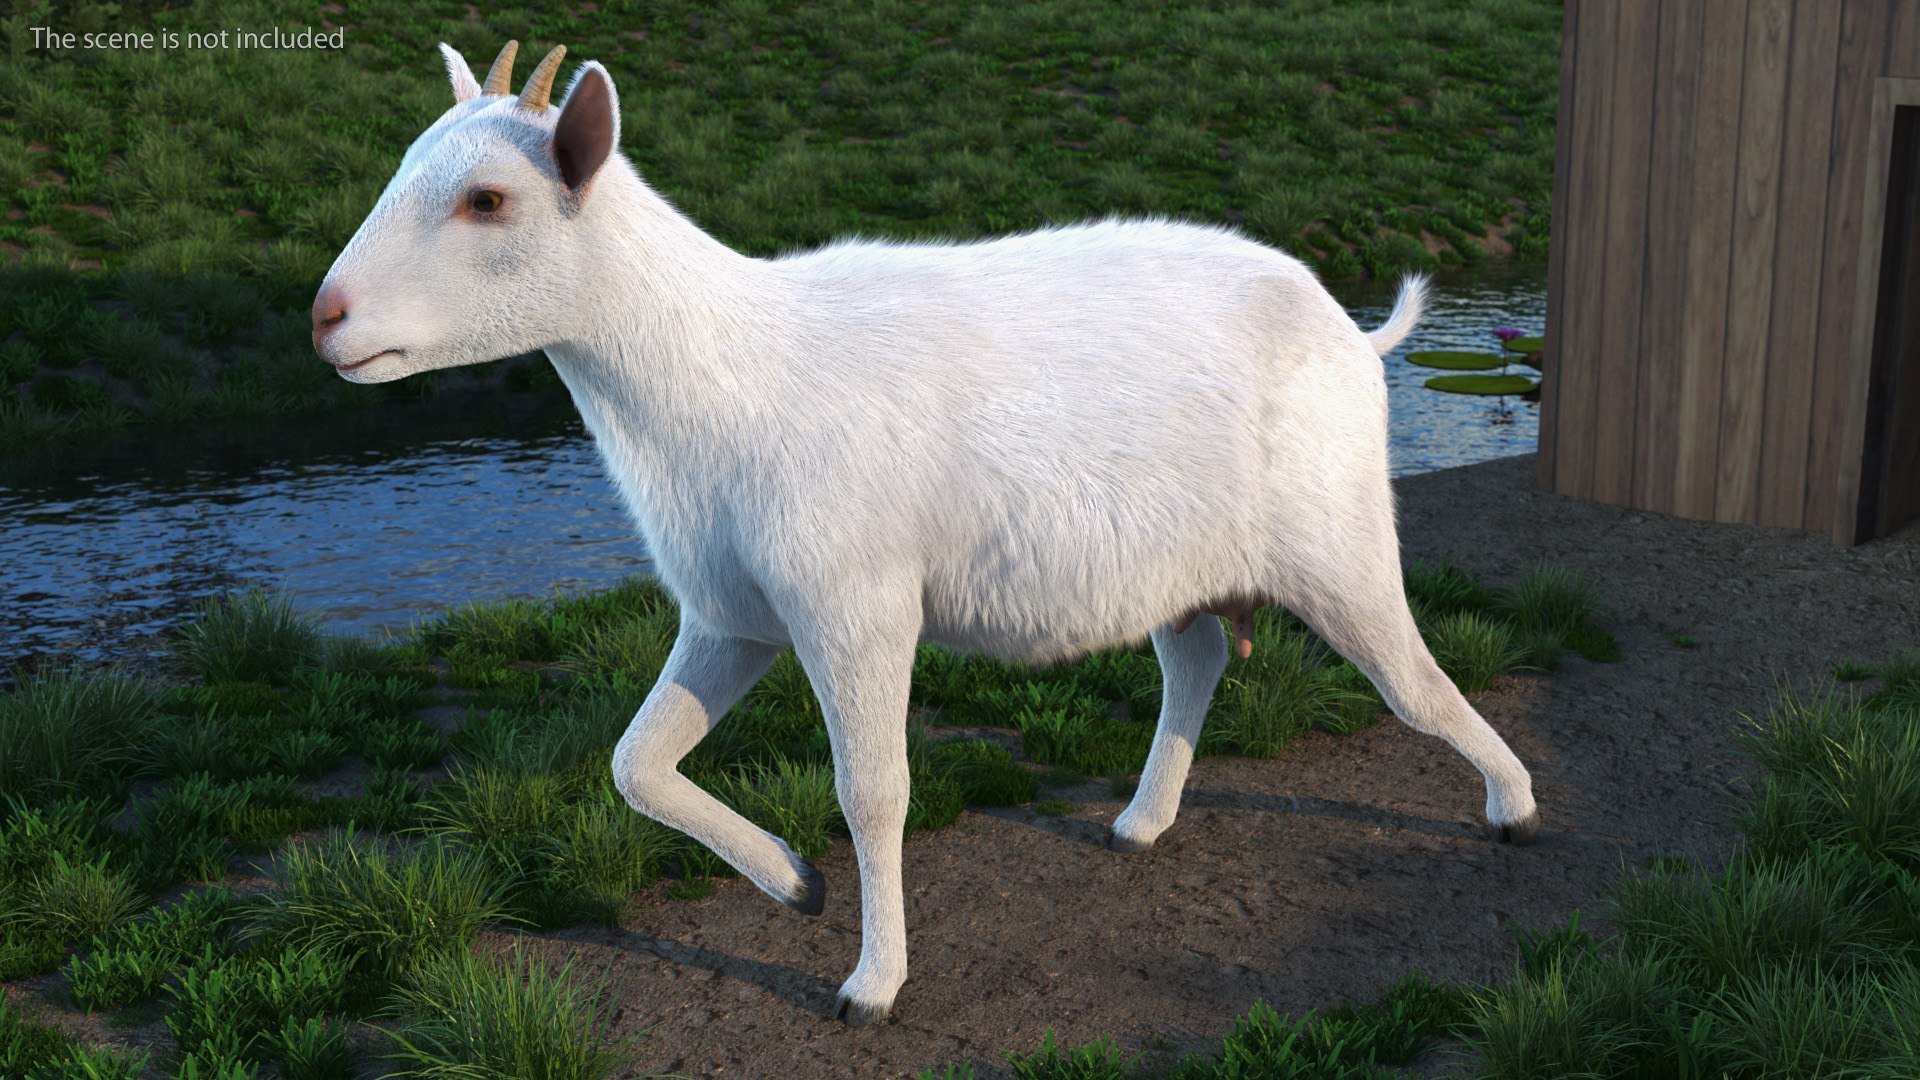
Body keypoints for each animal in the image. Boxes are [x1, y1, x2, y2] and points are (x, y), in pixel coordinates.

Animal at [313, 41, 1540, 1026]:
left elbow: (875, 791)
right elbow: (634, 765)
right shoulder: (733, 611)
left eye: (487, 200)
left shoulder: (856, 605)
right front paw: (793, 883)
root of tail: (1359, 332)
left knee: (1415, 681)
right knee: (1196, 658)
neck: (726, 367)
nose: (325, 317)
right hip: (1176, 567)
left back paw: (1515, 807)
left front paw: (873, 985)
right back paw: (1142, 821)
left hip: (1336, 535)